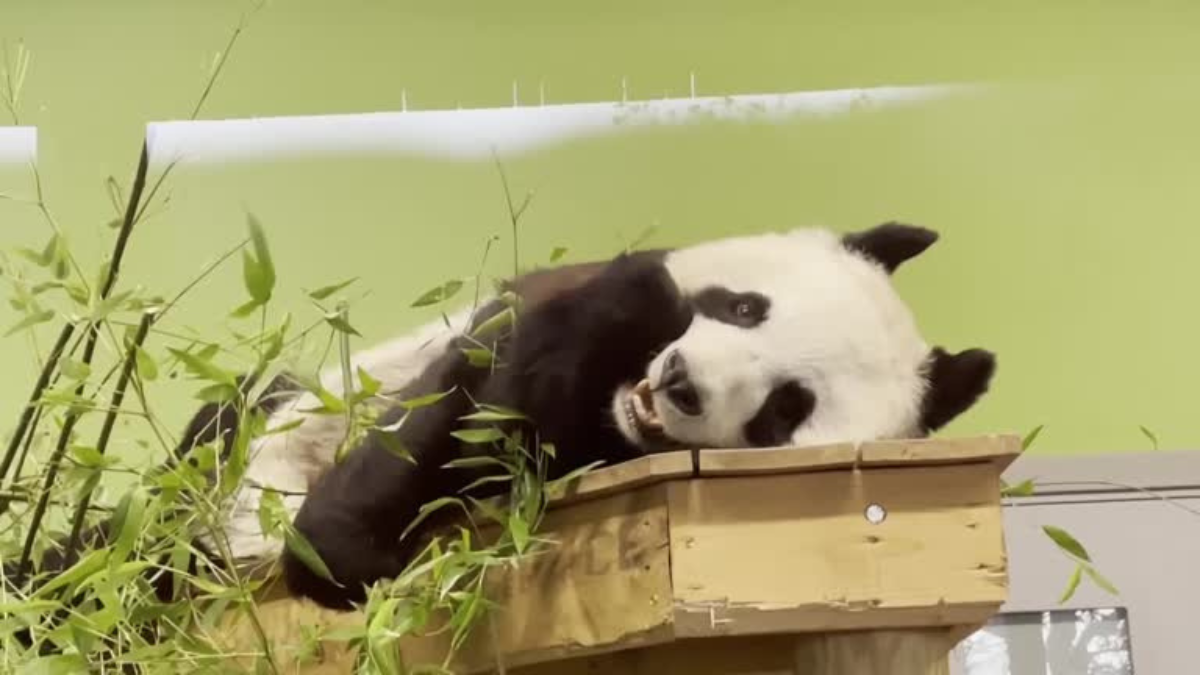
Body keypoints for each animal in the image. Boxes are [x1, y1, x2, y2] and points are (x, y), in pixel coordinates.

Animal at [198, 221, 996, 610]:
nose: (681, 381)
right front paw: (345, 554)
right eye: (744, 307)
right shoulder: (543, 320)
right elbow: (455, 416)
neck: (614, 414)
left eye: (785, 408)